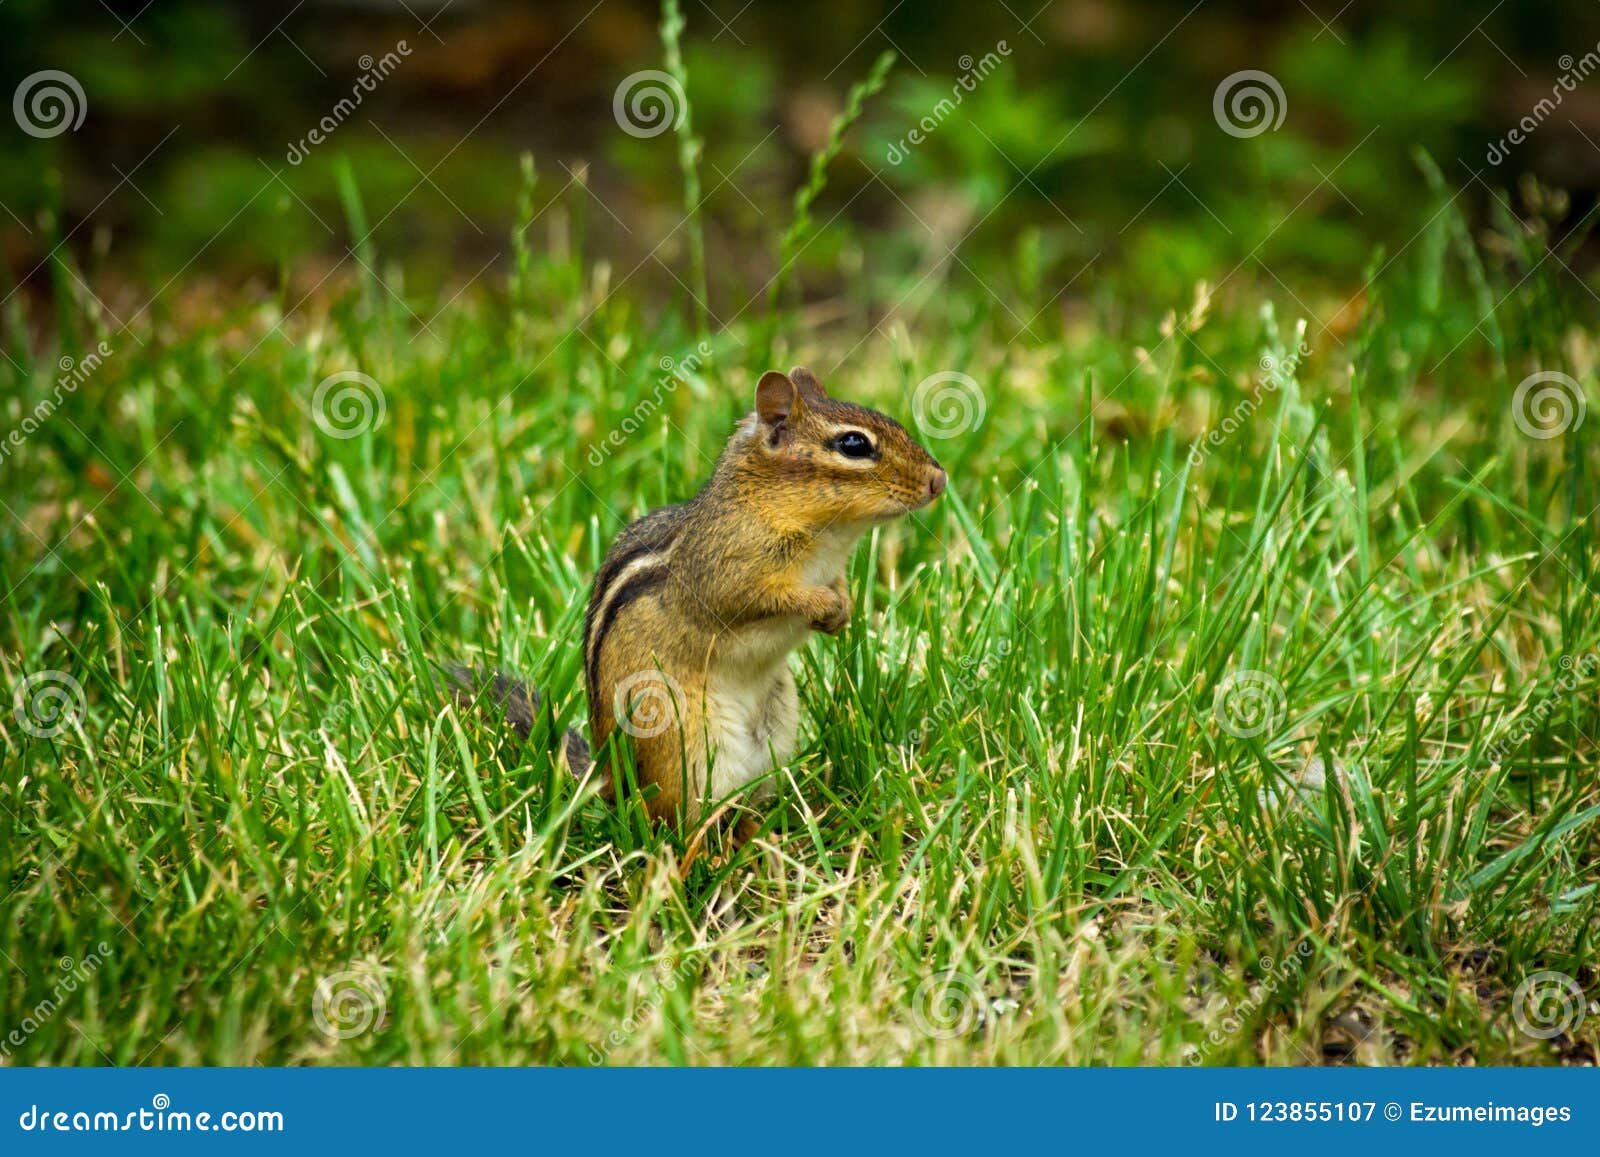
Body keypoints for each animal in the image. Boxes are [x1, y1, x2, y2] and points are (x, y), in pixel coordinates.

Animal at [450, 365, 946, 839]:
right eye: (854, 444)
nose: (938, 480)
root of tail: (610, 782)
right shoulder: (726, 574)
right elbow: (762, 598)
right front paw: (820, 607)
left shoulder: (831, 569)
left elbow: (838, 588)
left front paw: (842, 611)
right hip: (686, 744)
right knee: (677, 822)